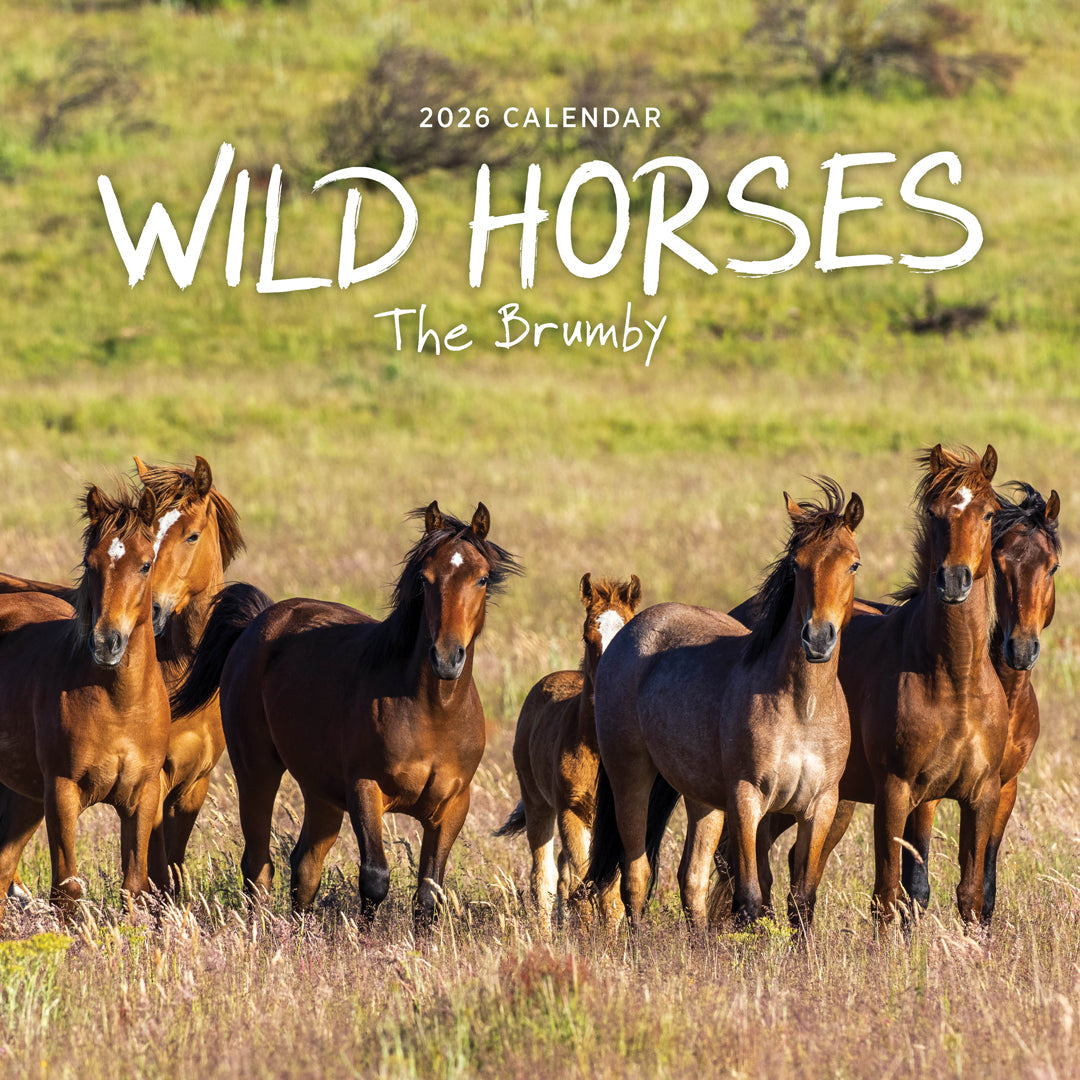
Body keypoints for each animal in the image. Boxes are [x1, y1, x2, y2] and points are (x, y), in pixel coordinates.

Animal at [0, 485, 171, 922]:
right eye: (90, 565)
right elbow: (68, 892)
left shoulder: (143, 795)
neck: (119, 704)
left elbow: (134, 887)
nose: (107, 643)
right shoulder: (62, 792)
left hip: (25, 798)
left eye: (146, 565)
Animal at [172, 502, 520, 929]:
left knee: (305, 865)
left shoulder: (453, 806)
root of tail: (258, 621)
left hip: (320, 791)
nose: (446, 657)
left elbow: (428, 894)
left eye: (482, 579)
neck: (433, 713)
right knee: (258, 865)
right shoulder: (365, 789)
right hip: (257, 770)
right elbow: (374, 877)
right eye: (424, 580)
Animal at [496, 573, 642, 927]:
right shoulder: (571, 810)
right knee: (544, 876)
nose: (607, 695)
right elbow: (583, 882)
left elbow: (610, 894)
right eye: (587, 638)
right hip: (537, 803)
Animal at [587, 480, 863, 931]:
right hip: (631, 776)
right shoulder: (746, 799)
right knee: (636, 874)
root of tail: (631, 632)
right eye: (796, 565)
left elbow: (801, 901)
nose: (818, 638)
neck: (802, 708)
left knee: (691, 878)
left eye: (853, 564)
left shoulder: (820, 806)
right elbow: (749, 899)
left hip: (702, 799)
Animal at [900, 482, 1060, 924]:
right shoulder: (926, 792)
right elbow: (916, 886)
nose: (1020, 648)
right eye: (1000, 565)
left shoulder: (1002, 788)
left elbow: (982, 884)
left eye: (1053, 567)